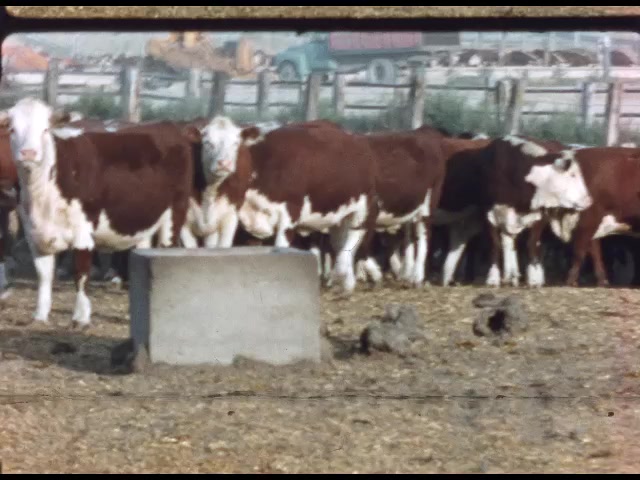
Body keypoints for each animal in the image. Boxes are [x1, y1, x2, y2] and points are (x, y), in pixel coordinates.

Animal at [0, 98, 194, 328]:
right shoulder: (36, 234)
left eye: (45, 129)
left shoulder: (83, 233)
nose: (28, 153)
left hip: (175, 214)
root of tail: (167, 125)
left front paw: (81, 317)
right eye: (12, 129)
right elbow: (44, 275)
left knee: (167, 247)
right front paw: (40, 315)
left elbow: (81, 274)